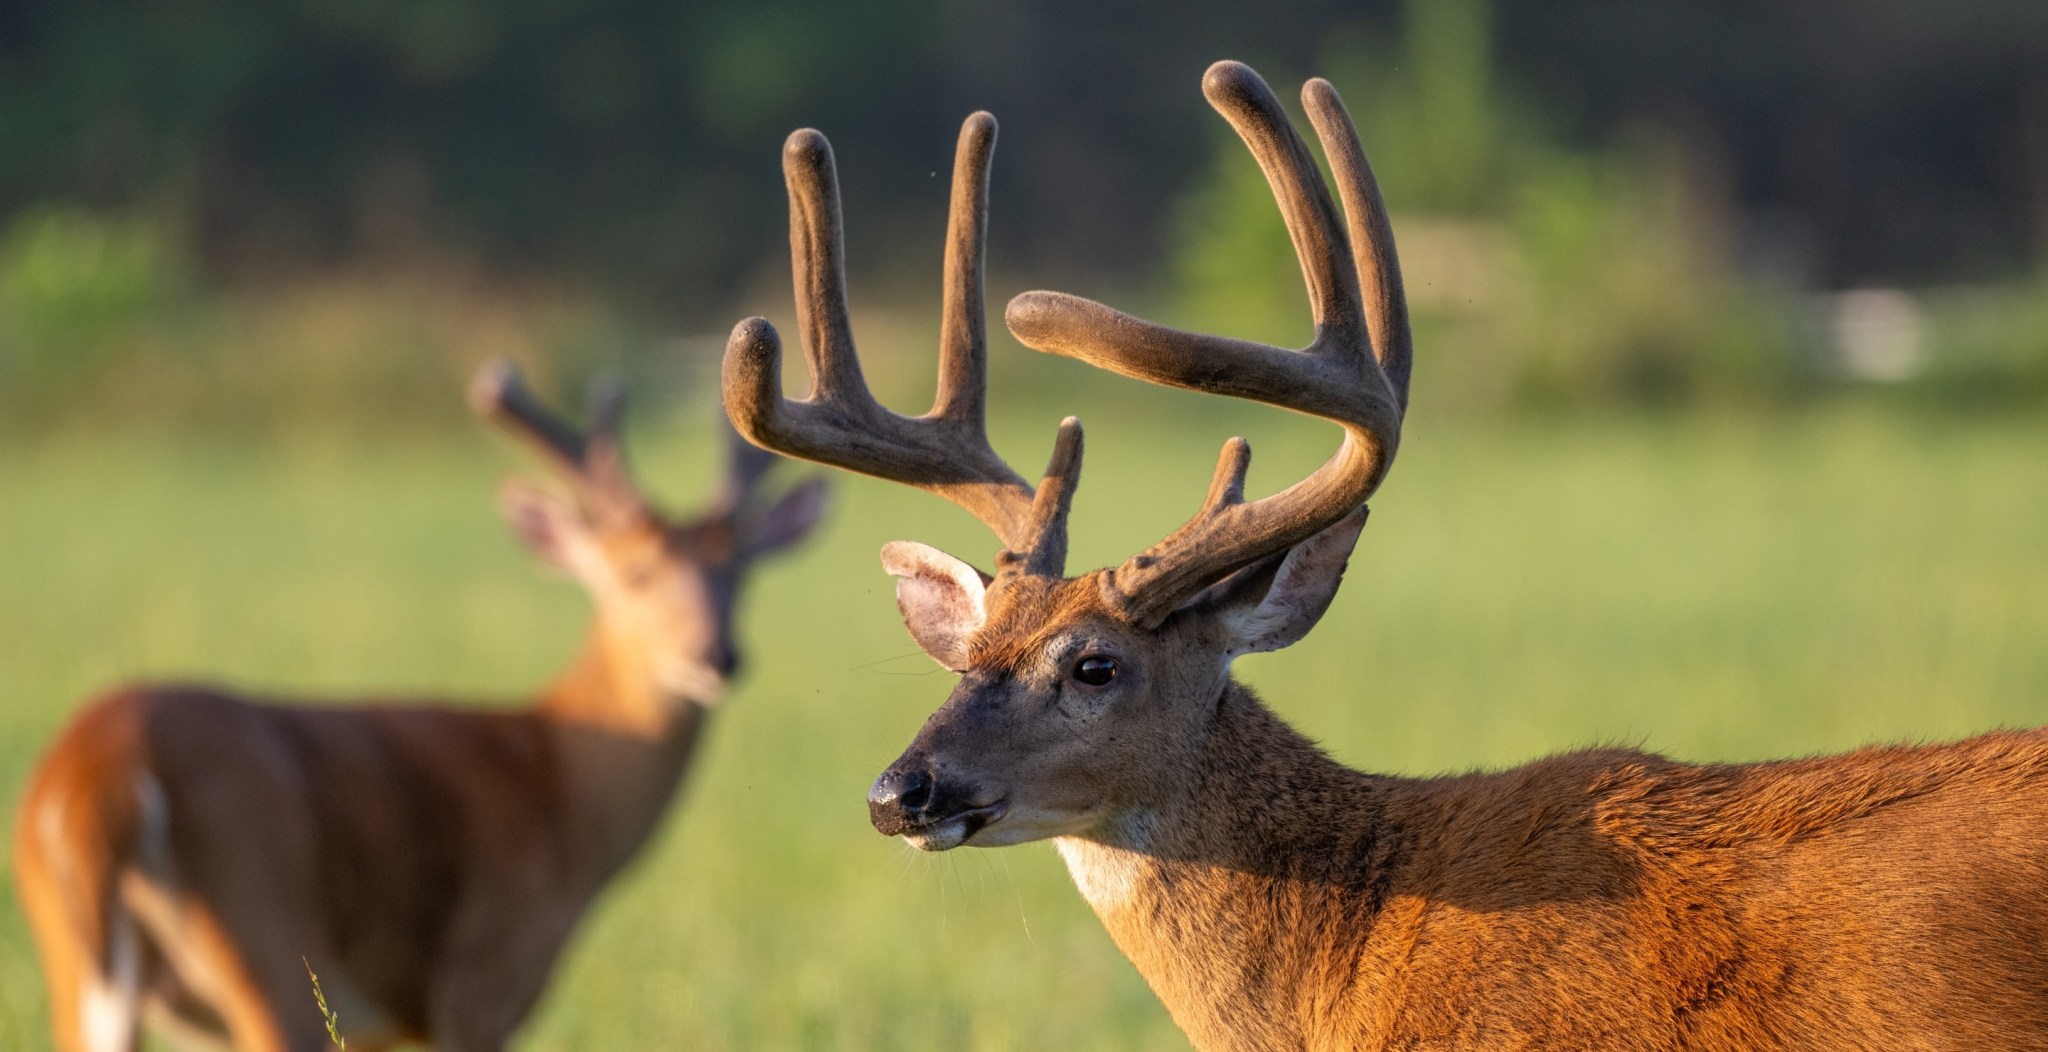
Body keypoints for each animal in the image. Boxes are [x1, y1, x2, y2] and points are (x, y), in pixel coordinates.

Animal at [12, 363, 827, 1052]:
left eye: (741, 570)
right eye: (634, 573)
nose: (716, 657)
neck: (558, 781)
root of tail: (99, 769)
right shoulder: (481, 980)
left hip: (73, 959)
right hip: (264, 936)